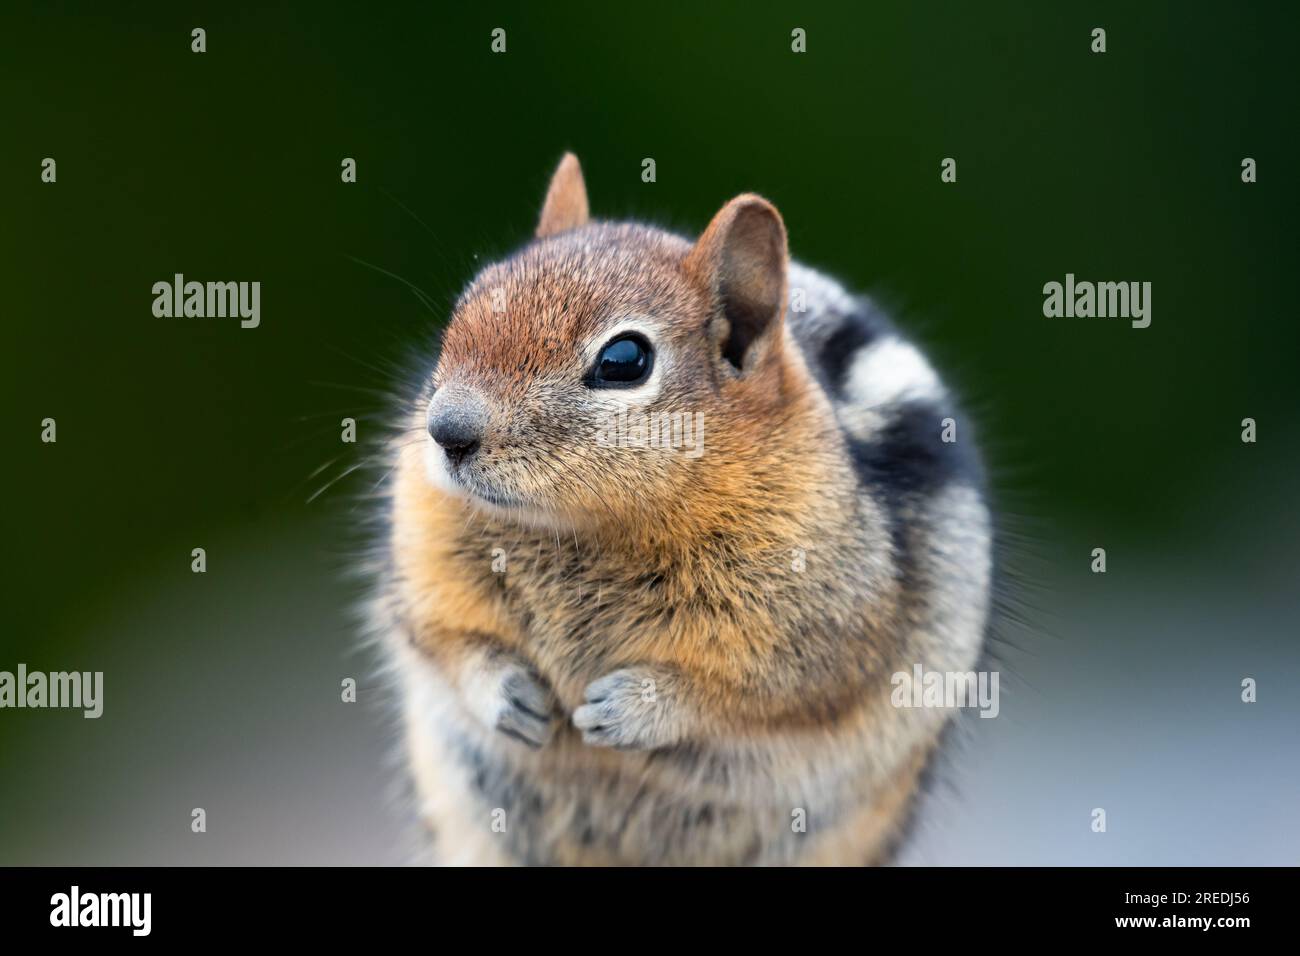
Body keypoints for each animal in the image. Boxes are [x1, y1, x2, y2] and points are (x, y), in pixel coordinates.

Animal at [374, 153, 992, 865]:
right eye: (467, 303)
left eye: (624, 360)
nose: (446, 431)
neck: (583, 531)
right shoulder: (422, 554)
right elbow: (441, 636)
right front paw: (505, 692)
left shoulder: (834, 615)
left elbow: (761, 691)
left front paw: (634, 706)